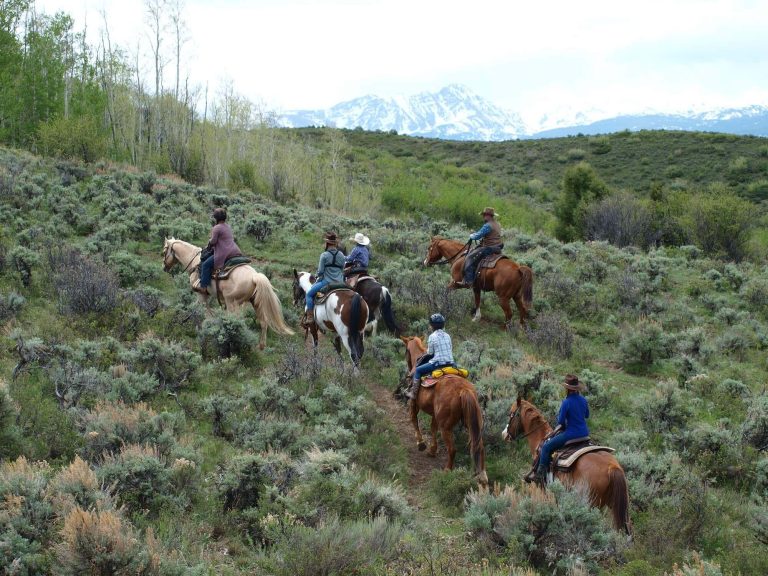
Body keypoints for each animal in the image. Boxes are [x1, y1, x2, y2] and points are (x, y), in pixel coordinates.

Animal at [161, 238, 294, 349]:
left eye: (164, 252)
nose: (164, 268)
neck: (194, 262)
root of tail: (254, 276)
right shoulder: (207, 296)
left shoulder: (201, 294)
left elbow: (205, 312)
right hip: (255, 303)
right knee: (263, 322)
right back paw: (260, 346)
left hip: (232, 302)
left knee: (238, 322)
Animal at [400, 336, 488, 486]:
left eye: (406, 351)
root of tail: (464, 390)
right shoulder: (435, 415)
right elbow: (432, 428)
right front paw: (432, 450)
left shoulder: (413, 403)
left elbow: (414, 420)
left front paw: (421, 444)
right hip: (472, 422)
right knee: (479, 446)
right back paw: (482, 476)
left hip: (446, 427)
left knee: (452, 449)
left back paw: (447, 470)